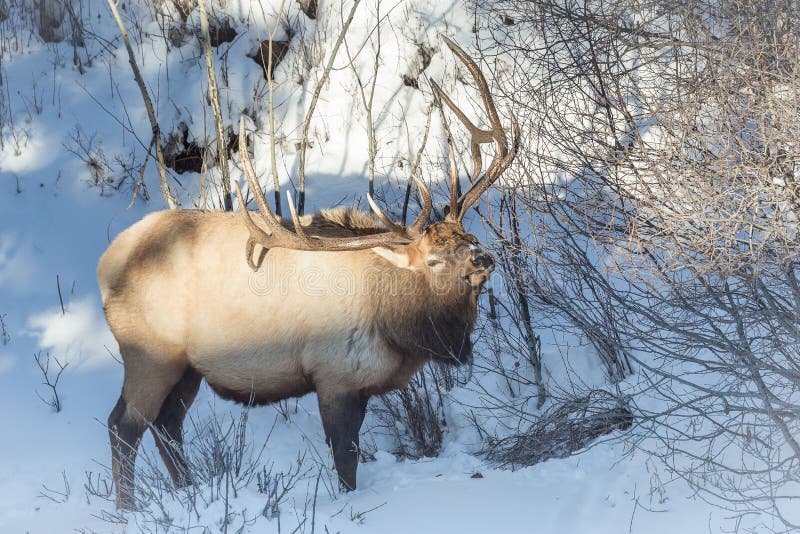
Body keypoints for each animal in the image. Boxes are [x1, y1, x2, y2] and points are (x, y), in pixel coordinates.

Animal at [98, 37, 519, 509]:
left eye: (469, 234)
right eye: (433, 259)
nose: (483, 259)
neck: (401, 327)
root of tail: (105, 264)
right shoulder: (333, 375)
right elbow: (345, 460)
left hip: (187, 367)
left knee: (167, 425)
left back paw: (186, 492)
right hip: (149, 354)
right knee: (123, 425)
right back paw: (126, 510)